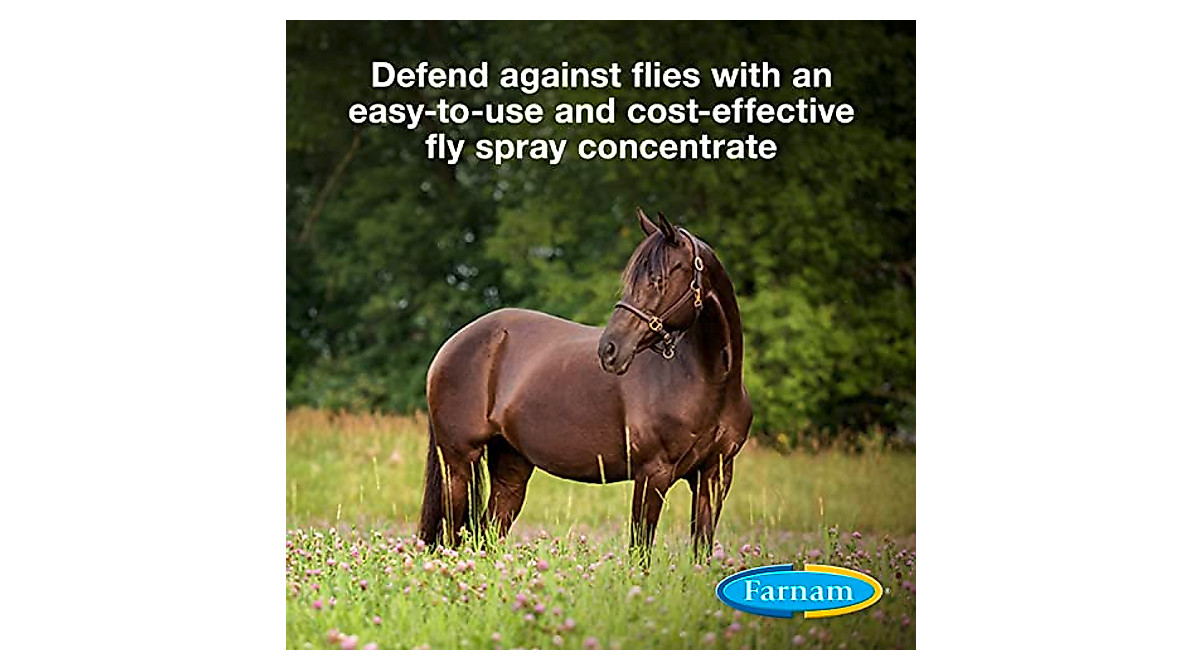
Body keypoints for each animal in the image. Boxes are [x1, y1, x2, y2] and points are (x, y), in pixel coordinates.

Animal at [418, 208, 752, 558]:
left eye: (658, 280)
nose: (610, 349)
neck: (710, 383)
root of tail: (451, 346)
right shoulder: (653, 474)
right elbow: (640, 552)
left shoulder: (714, 476)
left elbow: (702, 548)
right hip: (459, 465)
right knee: (453, 537)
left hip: (511, 467)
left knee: (488, 536)